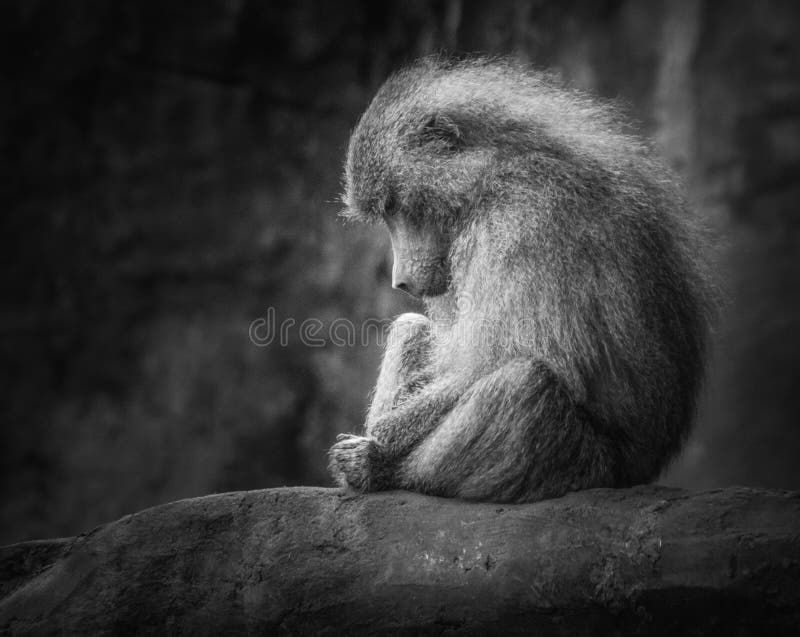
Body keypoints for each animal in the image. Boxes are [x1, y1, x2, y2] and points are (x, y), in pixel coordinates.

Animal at [328, 57, 715, 503]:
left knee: (524, 385)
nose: (400, 282)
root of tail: (636, 474)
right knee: (414, 327)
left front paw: (380, 440)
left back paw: (382, 470)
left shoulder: (522, 219)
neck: (492, 176)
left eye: (395, 207)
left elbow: (502, 358)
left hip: (583, 467)